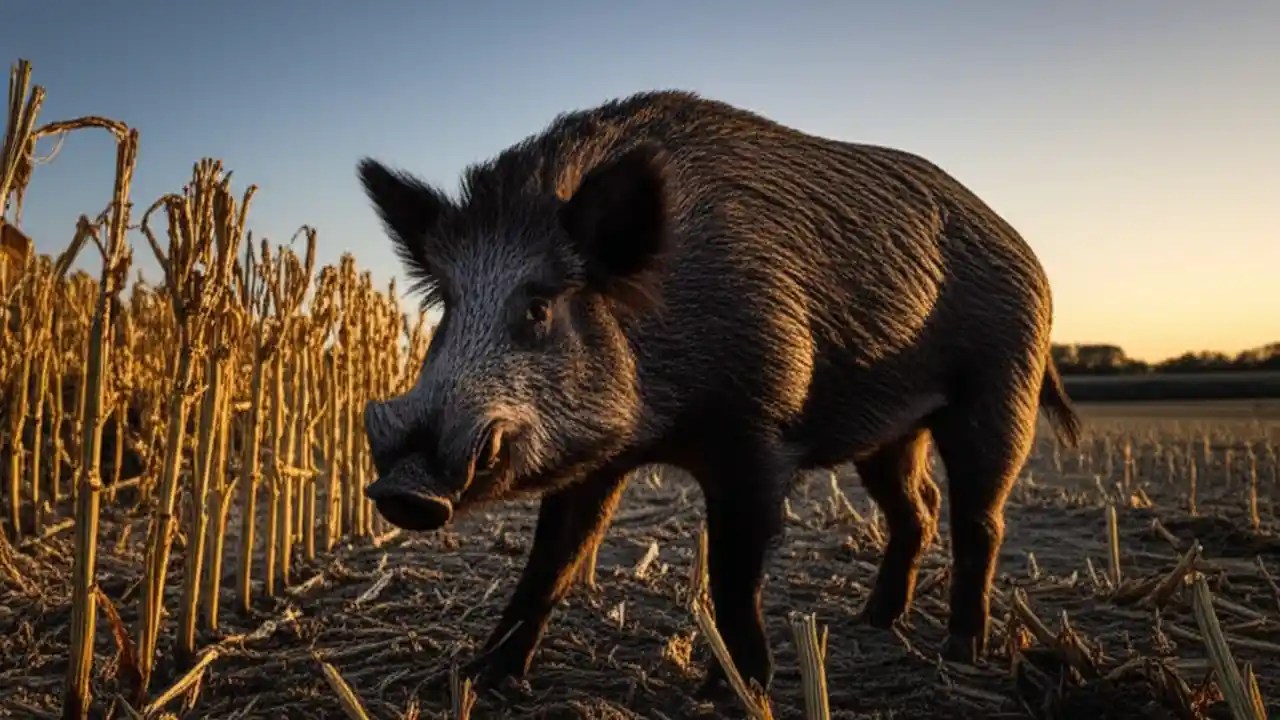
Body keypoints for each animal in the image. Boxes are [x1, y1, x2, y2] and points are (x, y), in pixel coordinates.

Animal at [356, 89, 1083, 695]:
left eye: (538, 308)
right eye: (448, 308)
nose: (404, 489)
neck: (666, 424)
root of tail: (1033, 261)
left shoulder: (759, 434)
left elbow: (734, 571)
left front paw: (732, 692)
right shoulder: (596, 458)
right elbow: (550, 561)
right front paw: (482, 678)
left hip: (1002, 389)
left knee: (980, 518)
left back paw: (961, 650)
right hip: (890, 436)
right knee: (919, 509)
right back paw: (871, 621)